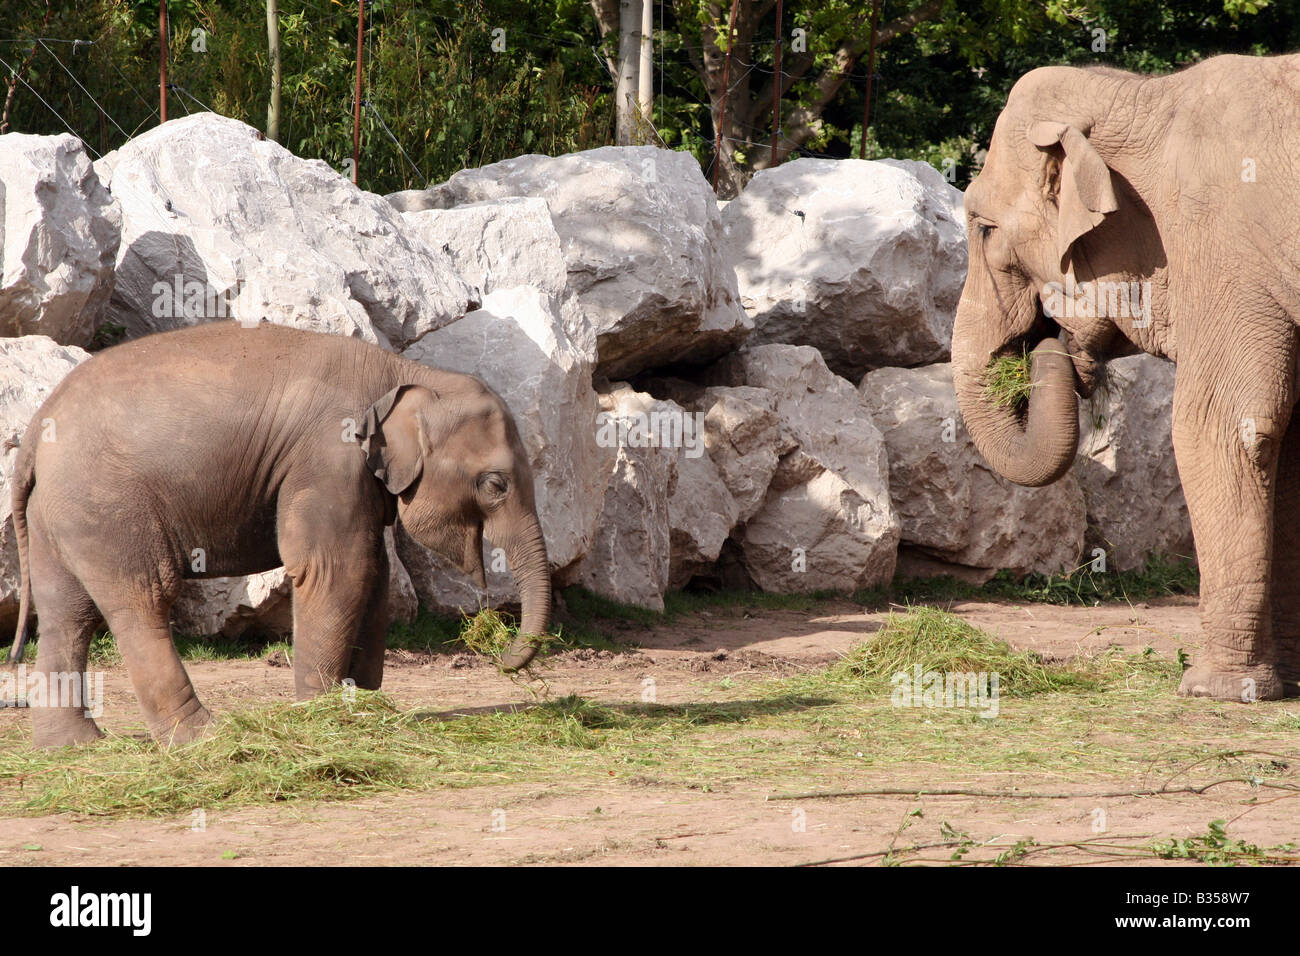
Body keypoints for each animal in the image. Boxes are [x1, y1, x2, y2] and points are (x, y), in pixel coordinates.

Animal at [6, 321, 551, 746]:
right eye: (495, 485)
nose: (504, 660)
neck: (404, 373)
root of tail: (34, 434)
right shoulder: (327, 457)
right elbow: (335, 570)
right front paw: (321, 713)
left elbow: (372, 576)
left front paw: (361, 704)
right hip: (106, 505)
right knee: (142, 600)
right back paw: (203, 738)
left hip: (61, 515)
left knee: (66, 613)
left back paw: (74, 747)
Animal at [952, 55, 1300, 701]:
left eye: (984, 229)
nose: (1048, 339)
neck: (1146, 97)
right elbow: (1287, 444)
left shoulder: (1223, 255)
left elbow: (1223, 427)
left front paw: (1213, 689)